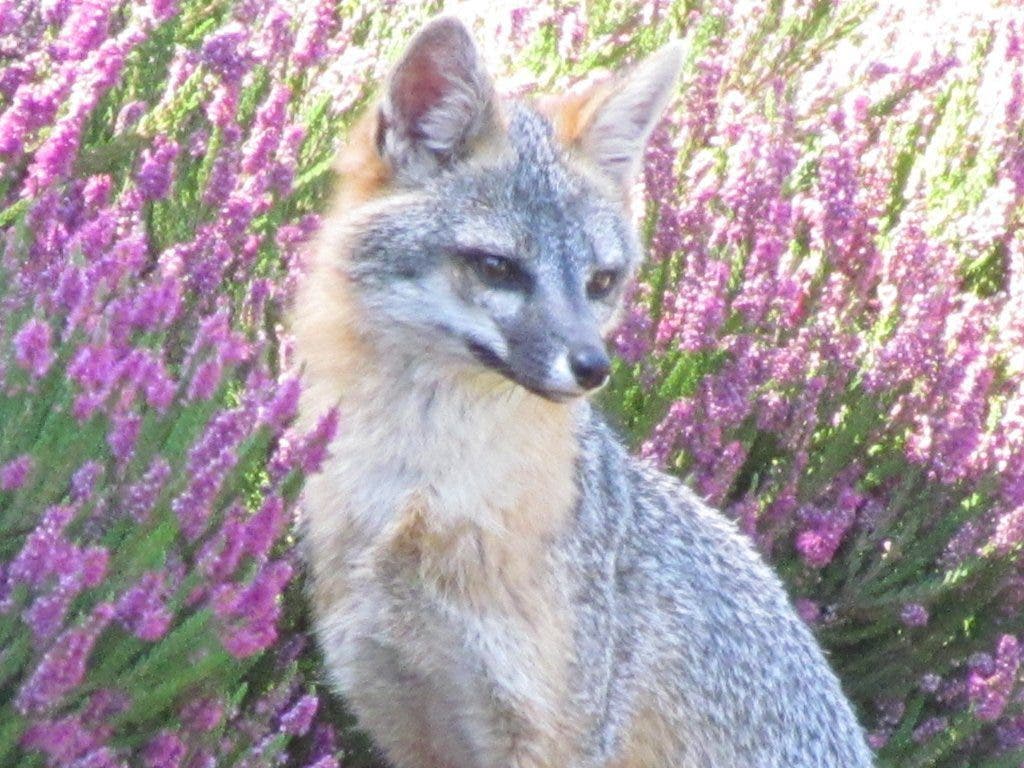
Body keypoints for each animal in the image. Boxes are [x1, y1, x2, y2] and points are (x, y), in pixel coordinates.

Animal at [292, 15, 874, 768]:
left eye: (601, 281)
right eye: (496, 268)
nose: (594, 367)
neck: (422, 493)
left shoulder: (555, 732)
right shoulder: (398, 710)